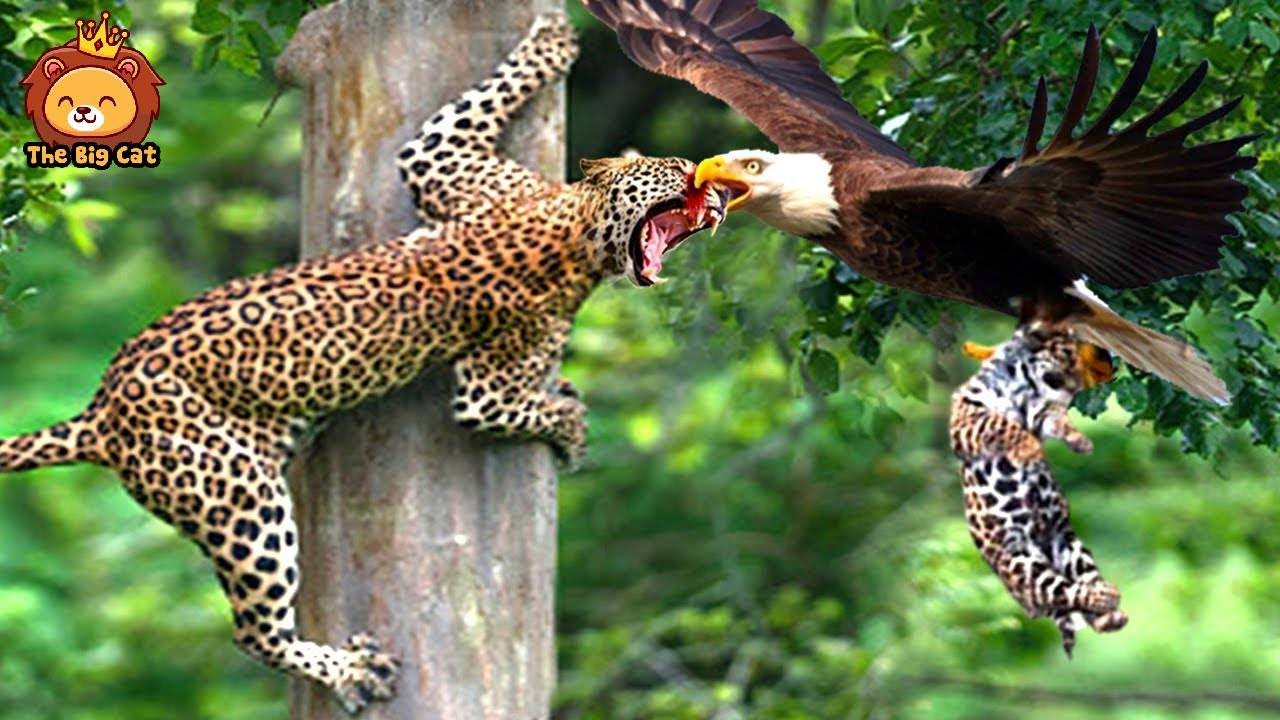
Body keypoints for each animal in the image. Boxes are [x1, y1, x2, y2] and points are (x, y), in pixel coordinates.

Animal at [0, 13, 723, 714]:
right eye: (674, 168)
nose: (714, 188)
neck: (574, 228)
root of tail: (99, 414)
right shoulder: (484, 379)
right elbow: (514, 406)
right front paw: (571, 426)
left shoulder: (441, 162)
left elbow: (459, 114)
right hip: (238, 498)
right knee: (254, 632)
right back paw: (353, 670)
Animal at [950, 320, 1127, 656]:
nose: (1108, 360)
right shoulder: (965, 416)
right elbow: (1000, 423)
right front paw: (1029, 447)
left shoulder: (1041, 412)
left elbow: (1053, 420)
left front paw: (1078, 441)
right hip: (1022, 564)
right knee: (1061, 592)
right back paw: (1104, 600)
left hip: (1069, 547)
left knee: (1079, 589)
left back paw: (1109, 608)